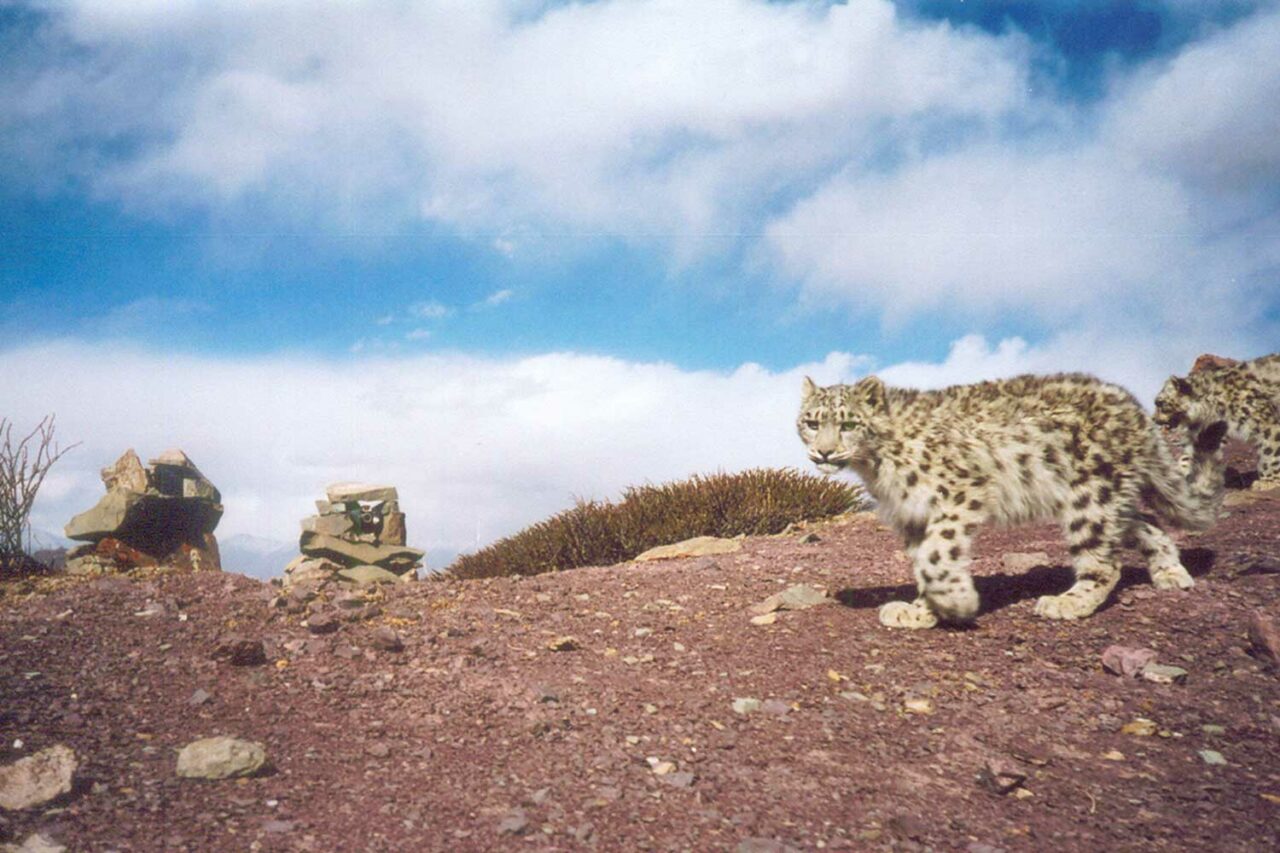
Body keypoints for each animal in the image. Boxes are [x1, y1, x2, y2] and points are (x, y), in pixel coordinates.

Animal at [798, 373, 1227, 629]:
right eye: (811, 422)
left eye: (849, 423)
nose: (823, 452)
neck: (874, 468)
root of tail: (1134, 408)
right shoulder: (912, 515)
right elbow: (924, 565)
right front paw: (922, 611)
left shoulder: (958, 494)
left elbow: (937, 558)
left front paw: (959, 603)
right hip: (1107, 498)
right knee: (1147, 524)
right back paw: (1171, 574)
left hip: (1090, 499)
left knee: (1105, 562)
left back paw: (1069, 602)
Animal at [1154, 353, 1280, 490]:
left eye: (1160, 403)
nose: (1154, 419)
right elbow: (1190, 454)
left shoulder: (1267, 423)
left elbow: (1270, 452)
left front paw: (1268, 482)